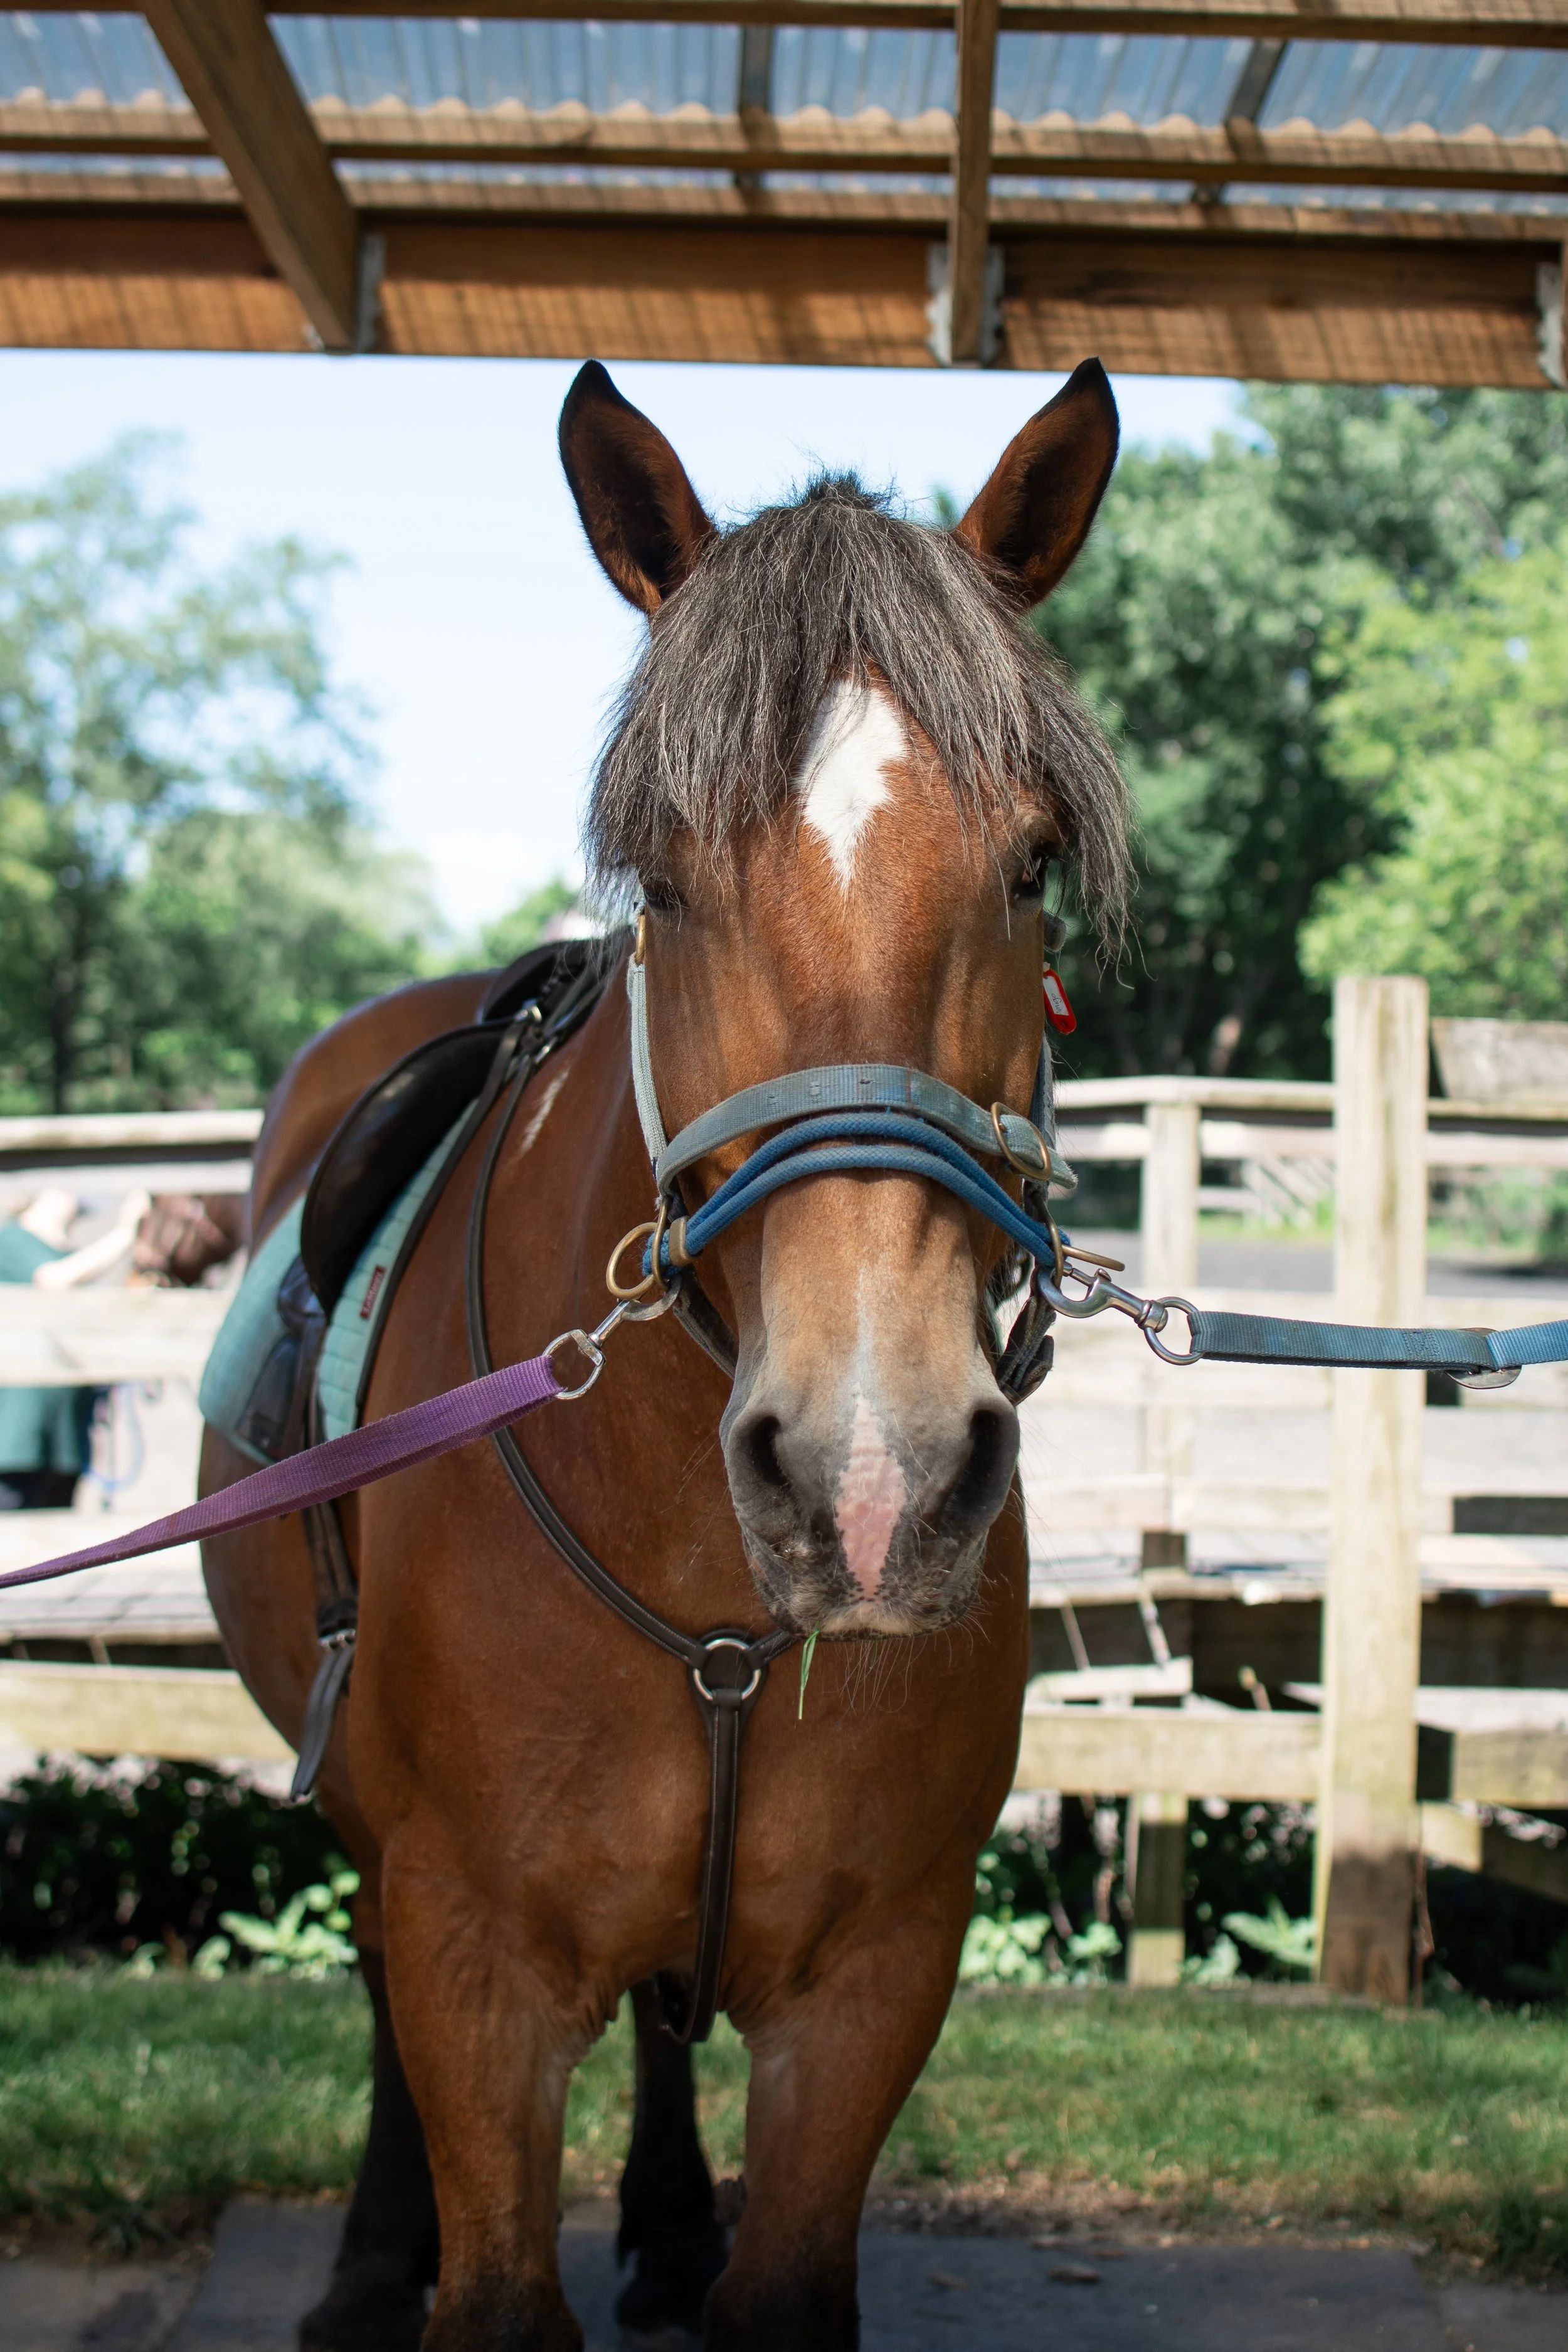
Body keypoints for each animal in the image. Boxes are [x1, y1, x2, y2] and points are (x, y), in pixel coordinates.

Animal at [198, 355, 1129, 2352]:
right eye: (668, 876)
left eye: (1028, 861)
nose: (871, 1477)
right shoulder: (475, 1961)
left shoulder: (872, 1981)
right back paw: (366, 2259)